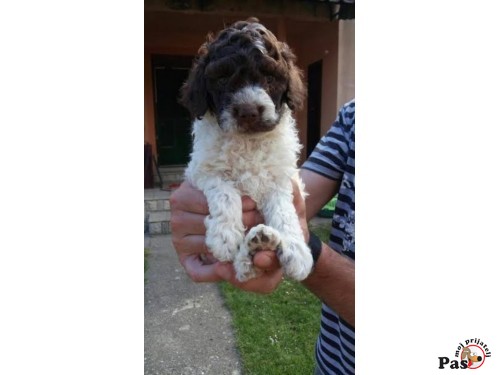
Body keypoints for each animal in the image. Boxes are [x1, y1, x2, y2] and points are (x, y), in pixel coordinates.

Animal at [180, 17, 312, 282]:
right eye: (221, 80)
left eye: (270, 79)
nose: (249, 111)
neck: (248, 142)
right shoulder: (202, 169)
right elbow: (224, 191)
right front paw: (224, 236)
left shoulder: (280, 178)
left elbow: (284, 210)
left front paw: (296, 249)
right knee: (242, 273)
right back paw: (250, 251)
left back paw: (259, 244)